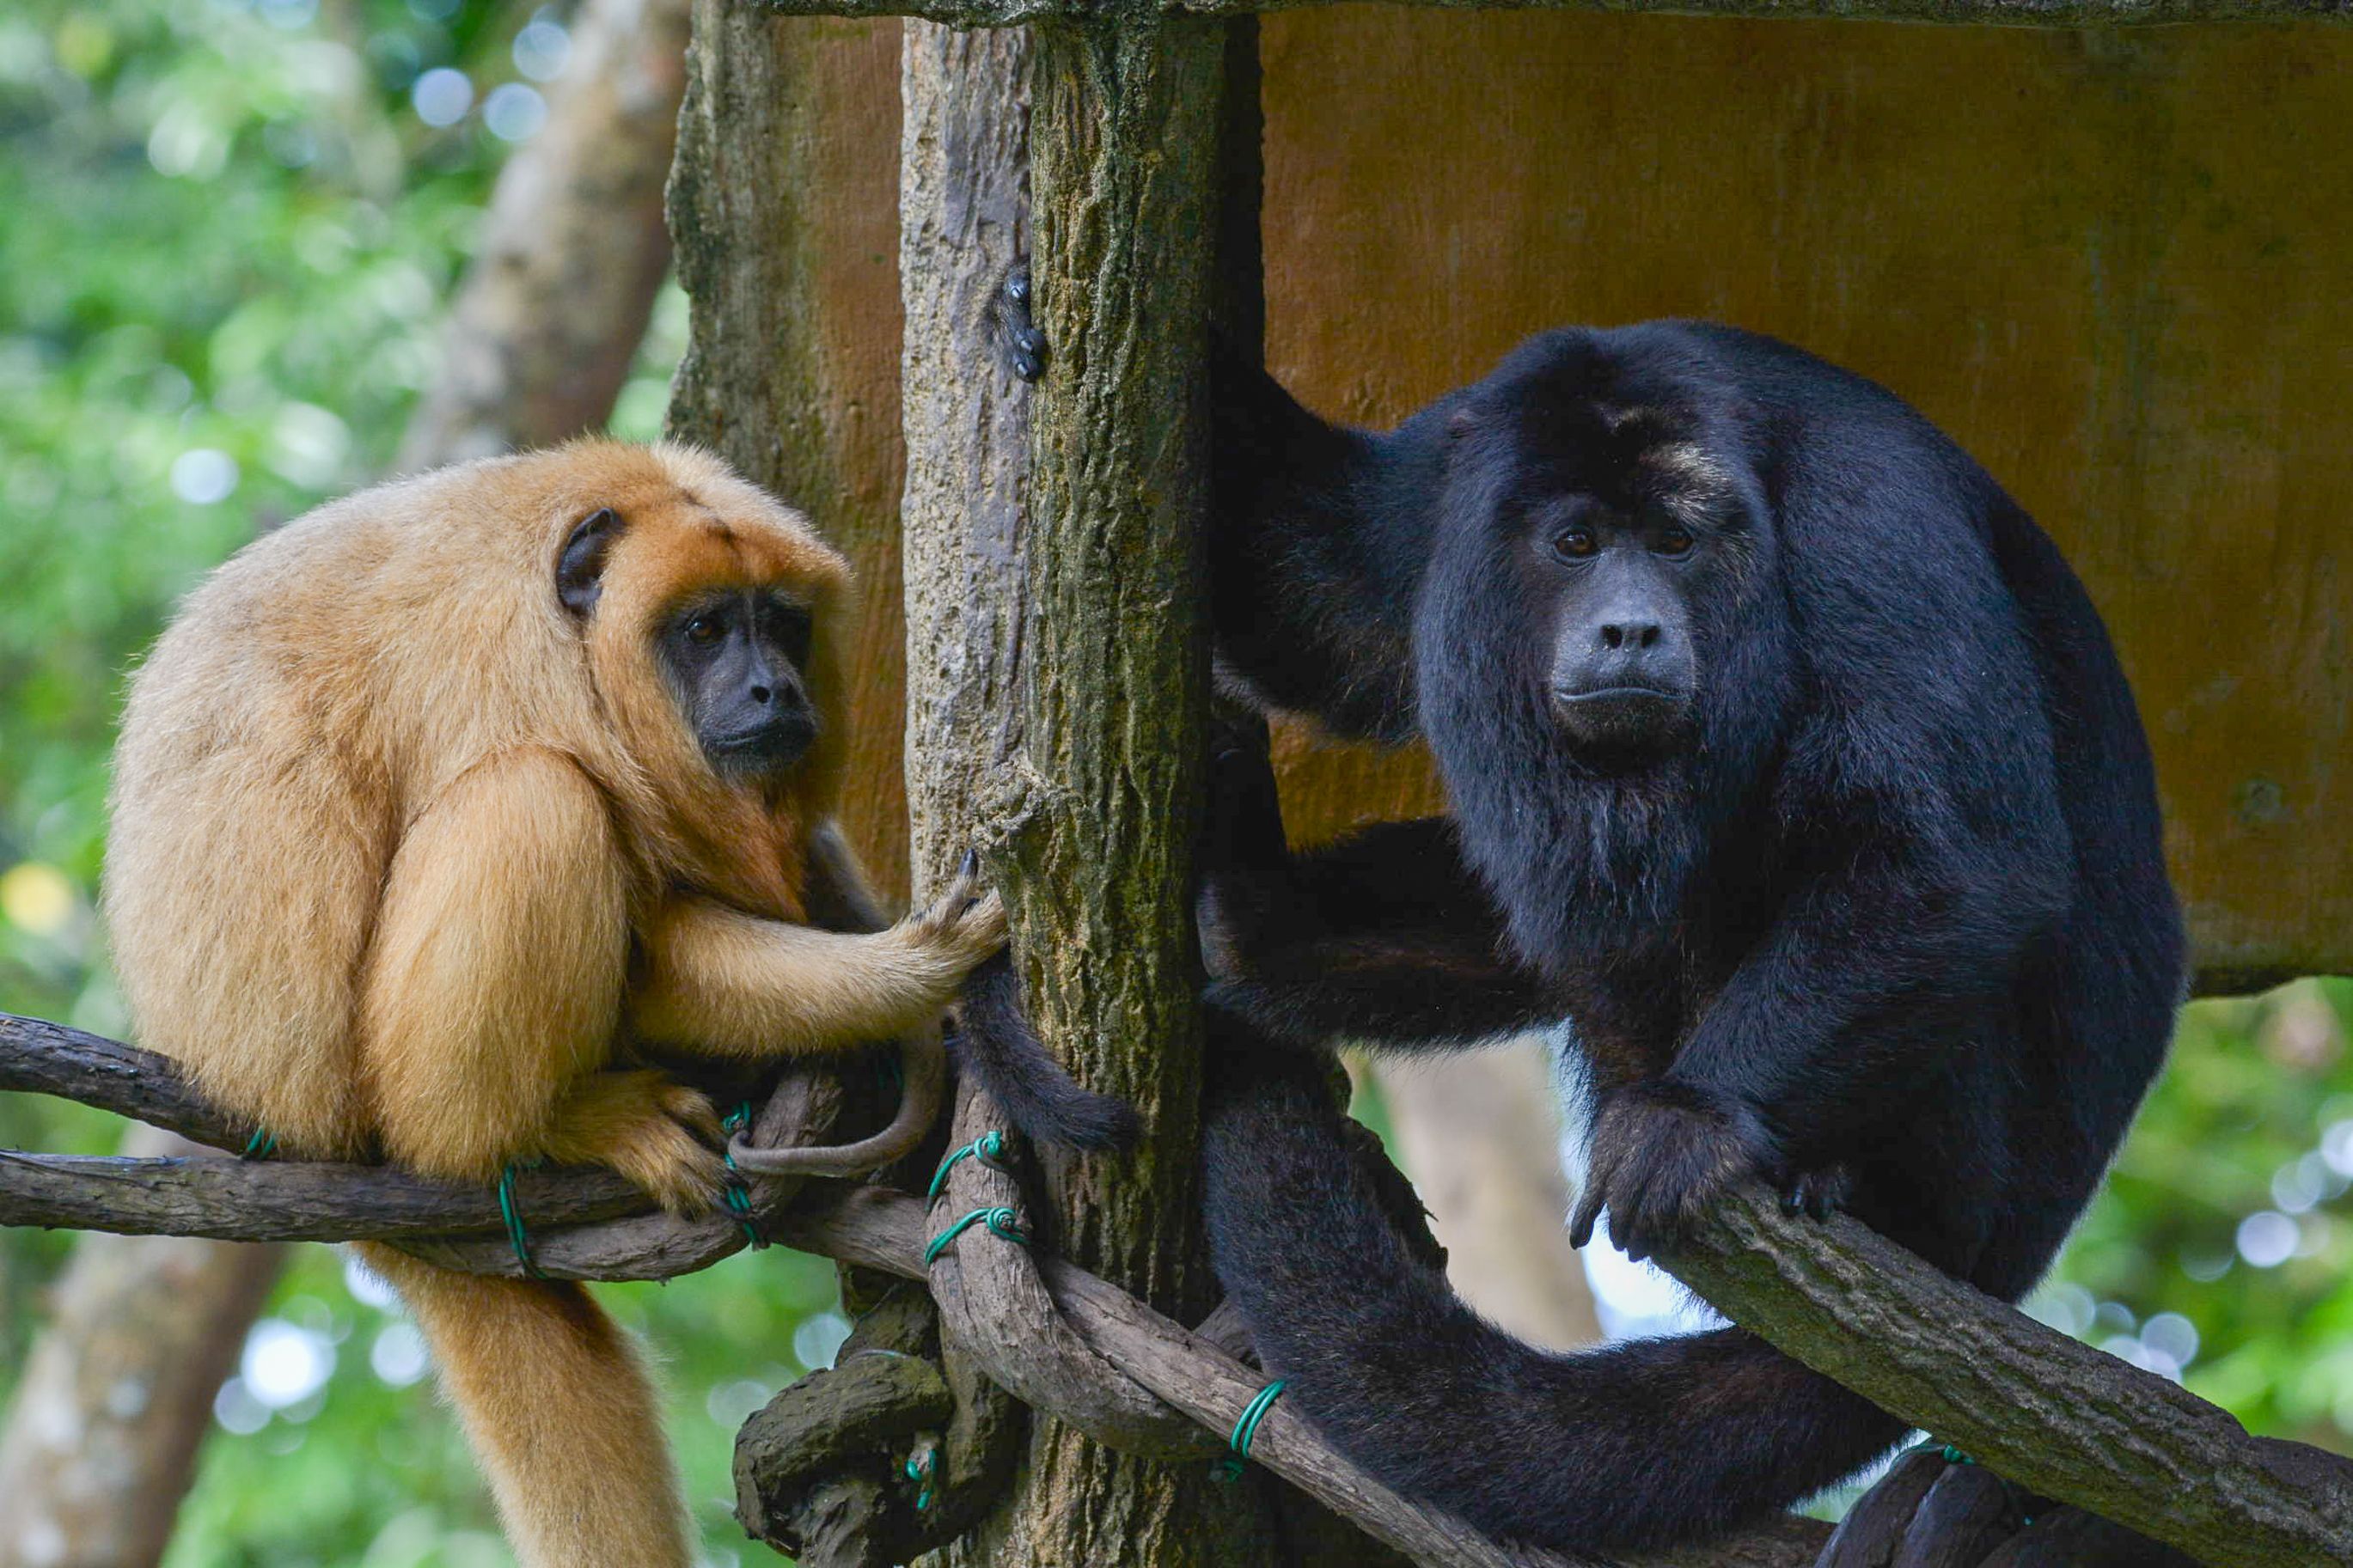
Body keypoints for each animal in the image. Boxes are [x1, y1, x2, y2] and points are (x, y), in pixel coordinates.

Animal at [101, 440, 1112, 1568]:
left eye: (782, 625)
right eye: (704, 630)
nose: (772, 688)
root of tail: (278, 1116)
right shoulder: (503, 666)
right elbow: (651, 937)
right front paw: (910, 973)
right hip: (359, 1090)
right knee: (535, 801)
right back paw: (540, 1128)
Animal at [1183, 323, 2185, 1550]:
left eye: (1672, 541)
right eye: (1573, 544)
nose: (1629, 625)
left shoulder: (1871, 516)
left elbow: (1958, 859)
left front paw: (1691, 1120)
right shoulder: (1440, 486)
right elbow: (1300, 585)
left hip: (1969, 1175)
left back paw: (1834, 1178)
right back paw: (1258, 932)